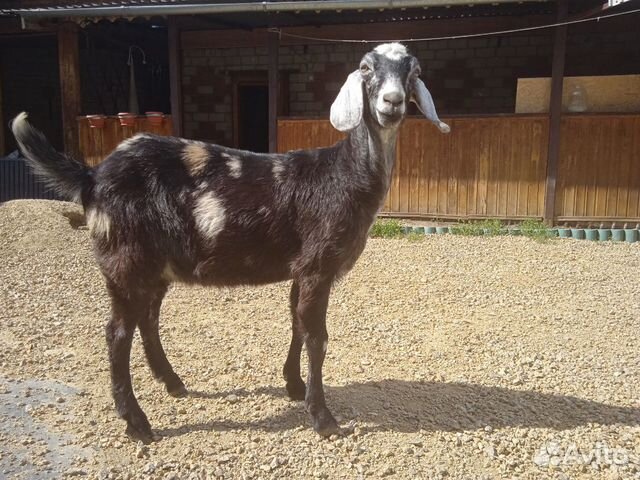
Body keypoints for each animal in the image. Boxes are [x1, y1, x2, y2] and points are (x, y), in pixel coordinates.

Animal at [11, 42, 449, 443]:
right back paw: (137, 424)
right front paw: (323, 419)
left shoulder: (300, 269)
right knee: (117, 333)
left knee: (147, 318)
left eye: (413, 71)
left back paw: (172, 383)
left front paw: (293, 386)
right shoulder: (317, 265)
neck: (342, 175)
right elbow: (317, 338)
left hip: (155, 265)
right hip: (125, 259)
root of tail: (91, 177)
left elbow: (295, 323)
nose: (392, 102)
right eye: (365, 68)